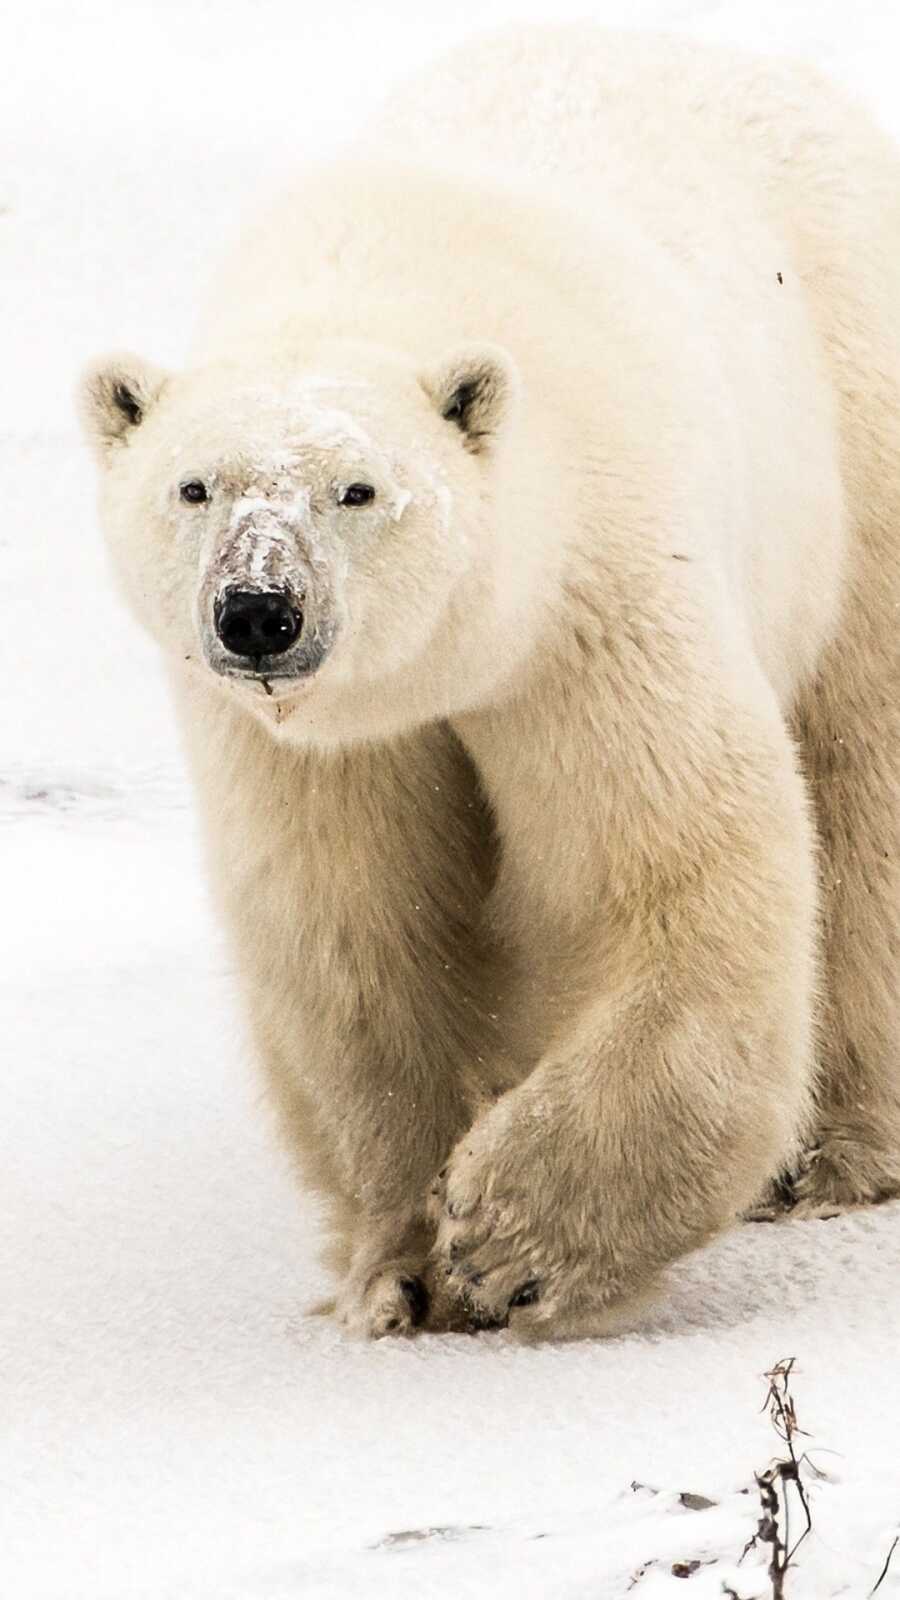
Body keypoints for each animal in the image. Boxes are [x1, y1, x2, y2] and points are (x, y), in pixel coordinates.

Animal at [79, 25, 900, 1341]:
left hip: (854, 429)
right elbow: (358, 931)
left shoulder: (589, 600)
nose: (258, 613)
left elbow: (665, 873)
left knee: (861, 778)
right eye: (193, 486)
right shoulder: (312, 743)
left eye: (357, 488)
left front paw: (512, 1235)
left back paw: (836, 1155)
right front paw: (403, 1263)